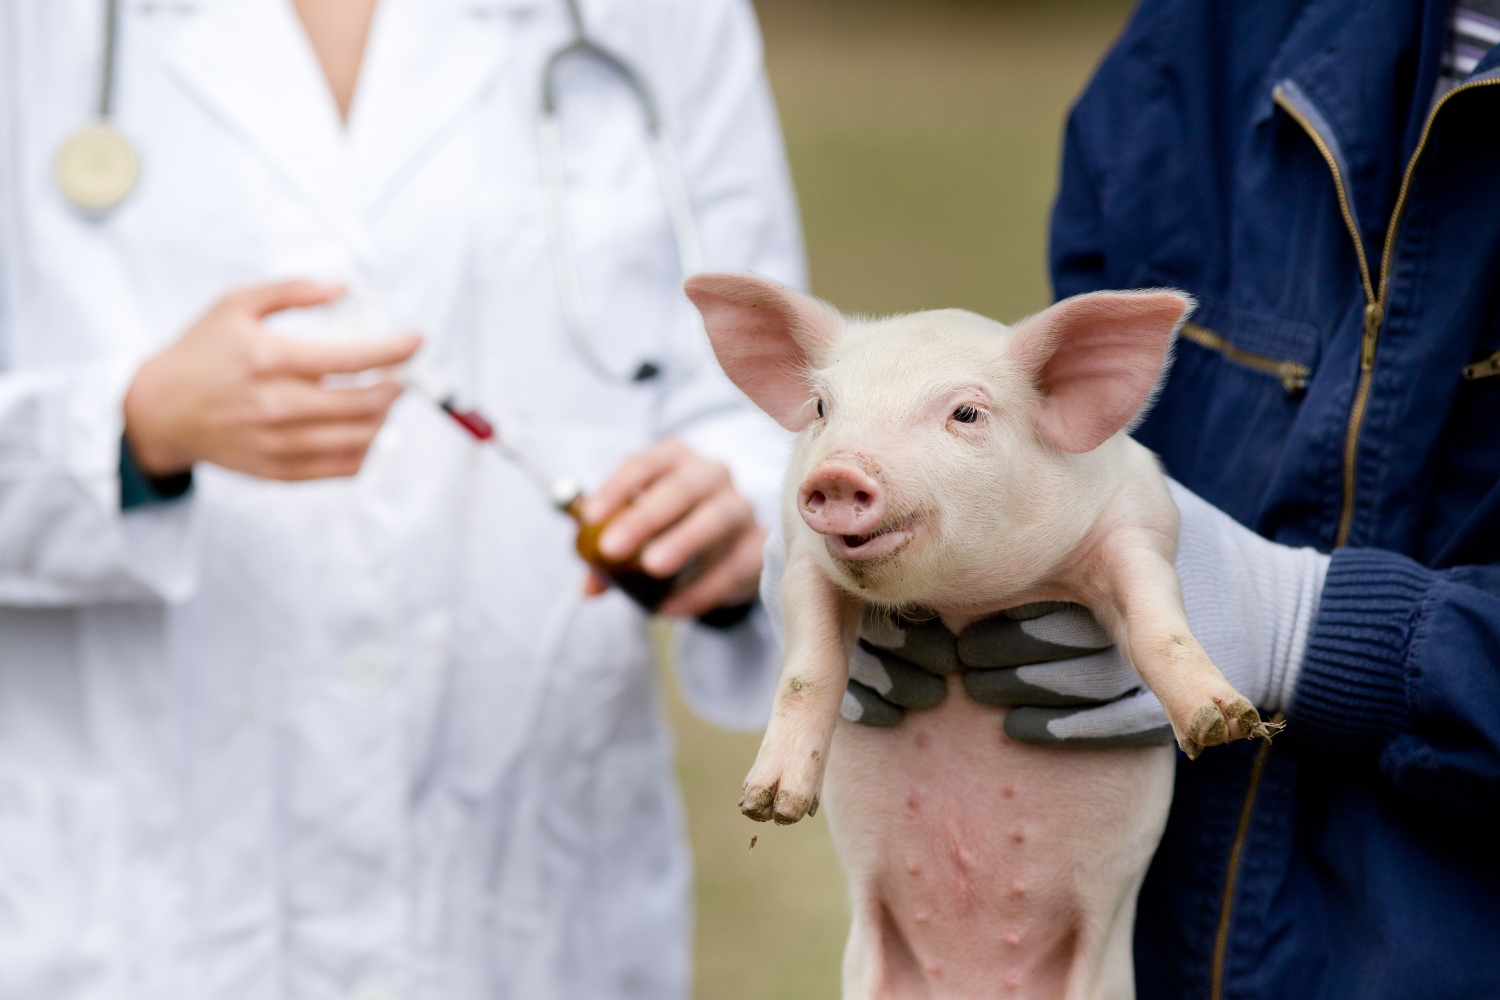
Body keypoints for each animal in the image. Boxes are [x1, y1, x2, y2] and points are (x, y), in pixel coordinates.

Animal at [683, 273, 1277, 1000]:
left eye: (966, 413)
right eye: (823, 406)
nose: (840, 472)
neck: (963, 603)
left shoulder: (1140, 524)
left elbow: (1156, 626)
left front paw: (1223, 724)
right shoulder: (801, 561)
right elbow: (808, 669)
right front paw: (769, 804)